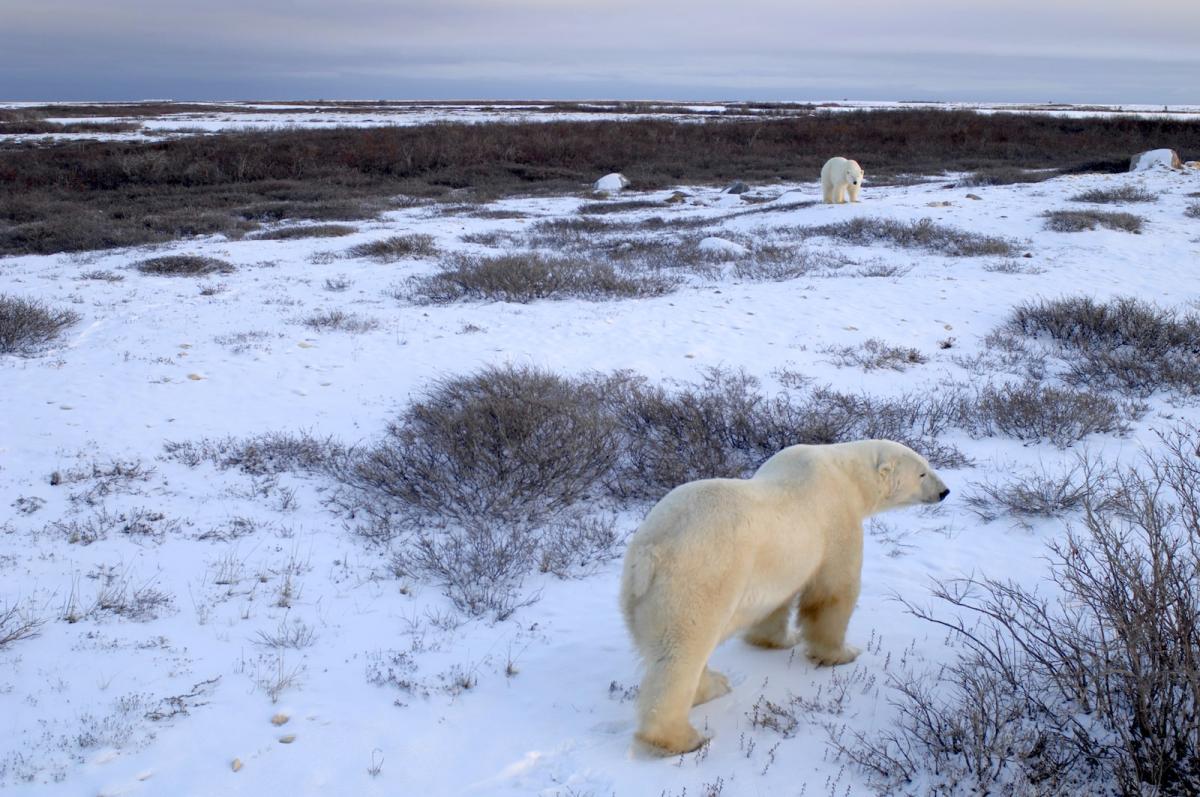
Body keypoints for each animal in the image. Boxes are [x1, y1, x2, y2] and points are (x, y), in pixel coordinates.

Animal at [619, 439, 949, 754]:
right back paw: (682, 737)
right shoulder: (836, 521)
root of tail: (648, 553)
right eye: (922, 472)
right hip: (698, 580)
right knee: (681, 654)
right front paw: (842, 653)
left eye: (927, 465)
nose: (945, 491)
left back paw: (714, 684)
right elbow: (833, 591)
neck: (845, 474)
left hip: (639, 601)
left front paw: (779, 639)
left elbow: (775, 604)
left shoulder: (777, 565)